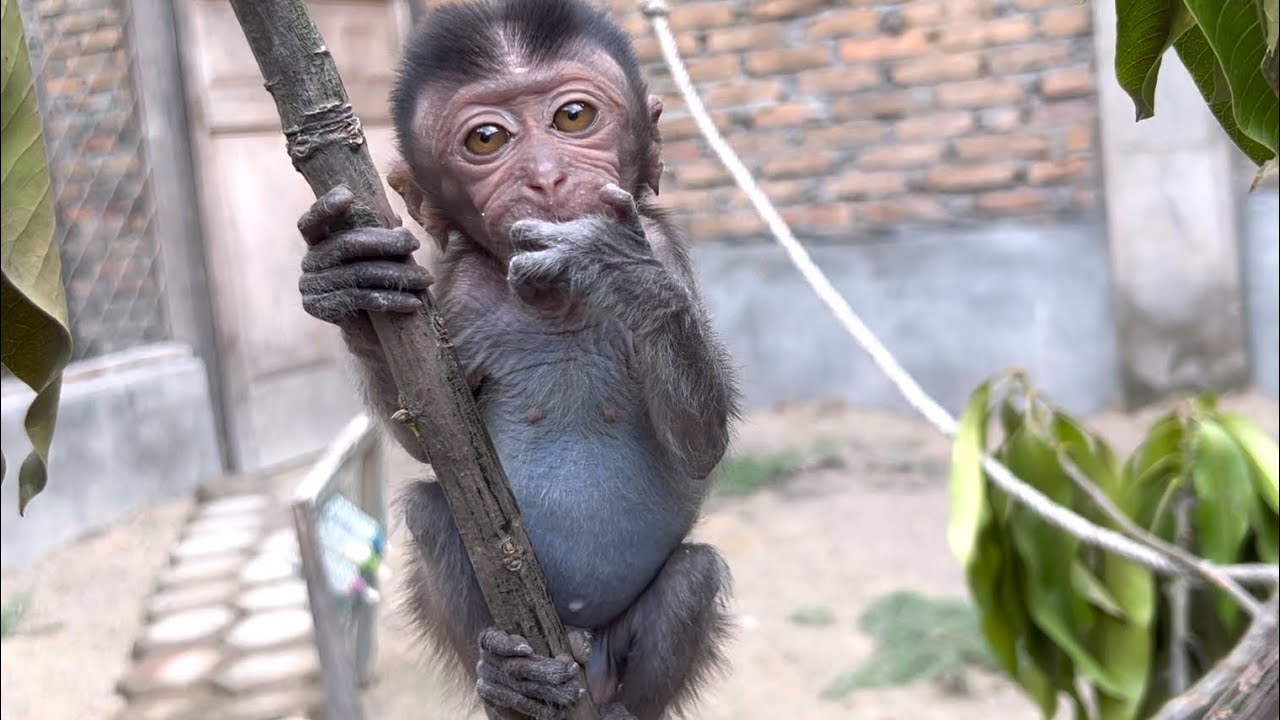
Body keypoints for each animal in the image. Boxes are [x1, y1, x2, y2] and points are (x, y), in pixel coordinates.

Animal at [294, 0, 739, 717]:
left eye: (574, 118)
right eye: (486, 140)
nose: (547, 177)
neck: (553, 301)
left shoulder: (662, 244)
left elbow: (699, 443)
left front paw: (612, 263)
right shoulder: (460, 294)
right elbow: (429, 436)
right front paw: (348, 280)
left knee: (696, 576)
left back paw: (619, 704)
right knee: (429, 512)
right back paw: (509, 675)